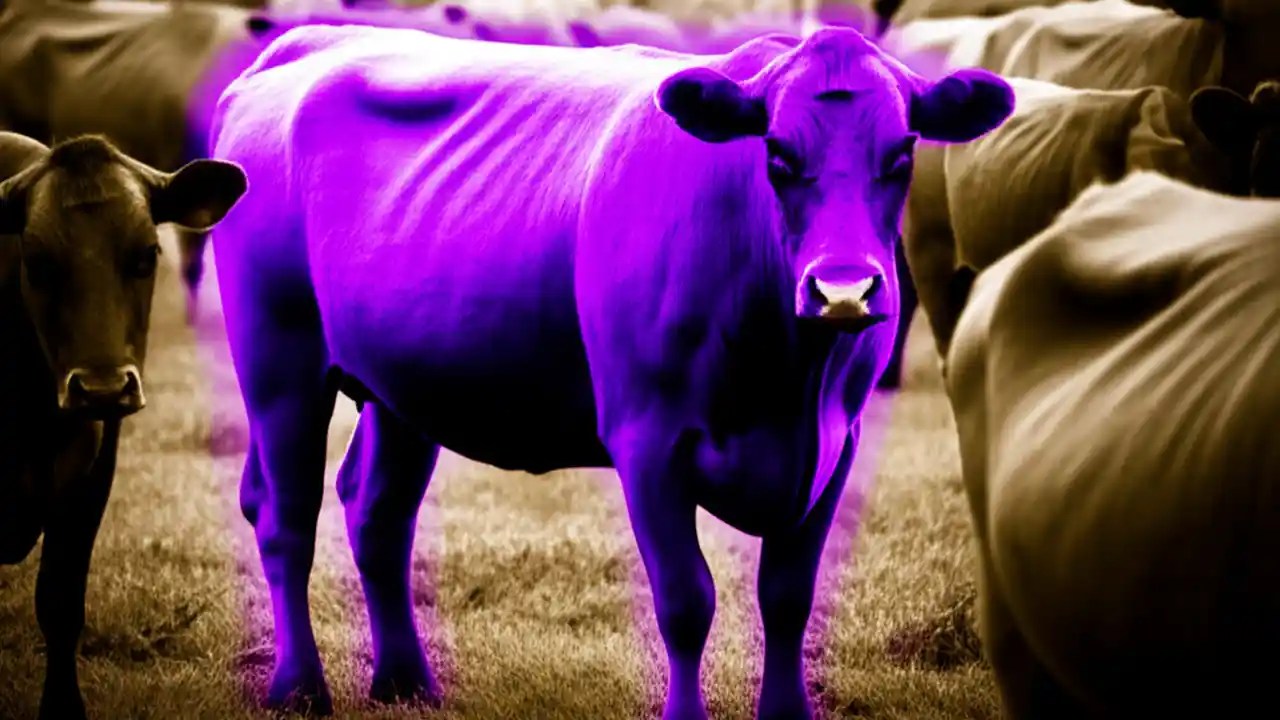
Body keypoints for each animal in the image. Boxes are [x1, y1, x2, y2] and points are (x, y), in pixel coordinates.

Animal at [208, 23, 1013, 718]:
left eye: (902, 153)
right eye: (778, 155)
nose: (843, 289)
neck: (787, 383)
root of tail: (308, 39)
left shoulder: (835, 443)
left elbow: (788, 596)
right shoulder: (648, 439)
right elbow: (686, 601)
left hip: (405, 384)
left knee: (377, 512)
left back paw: (407, 684)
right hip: (278, 359)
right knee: (286, 519)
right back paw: (298, 689)